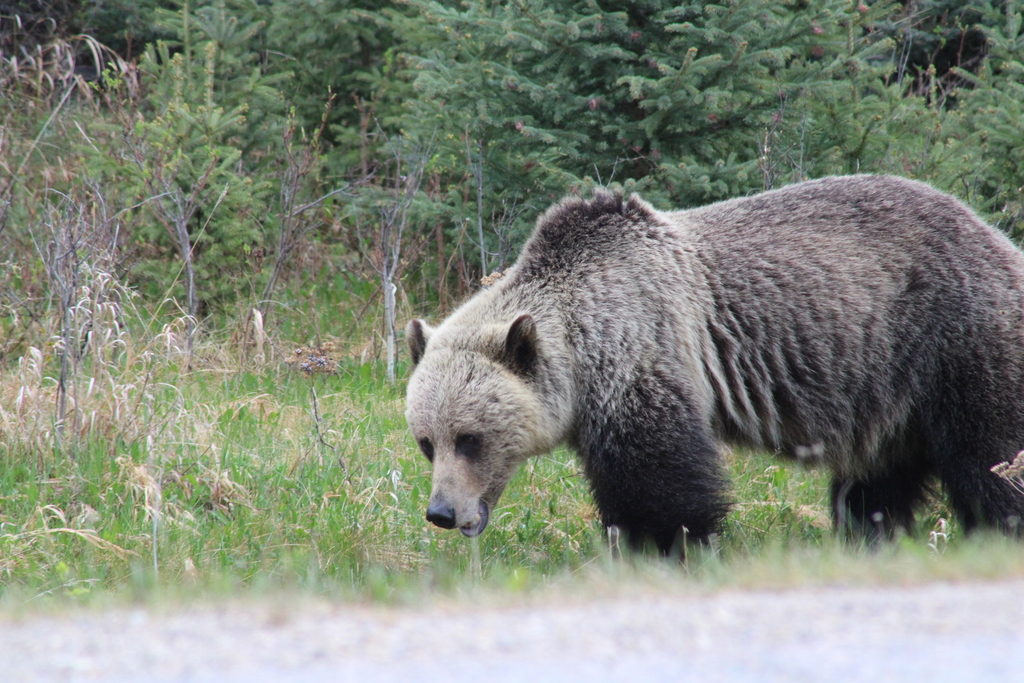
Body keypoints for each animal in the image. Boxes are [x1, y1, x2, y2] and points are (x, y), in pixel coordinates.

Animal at [404, 174, 1024, 553]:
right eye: (426, 442)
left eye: (470, 438)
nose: (441, 512)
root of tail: (997, 239)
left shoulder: (647, 348)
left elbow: (660, 483)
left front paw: (665, 546)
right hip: (886, 393)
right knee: (877, 482)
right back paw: (870, 537)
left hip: (953, 338)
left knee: (989, 454)